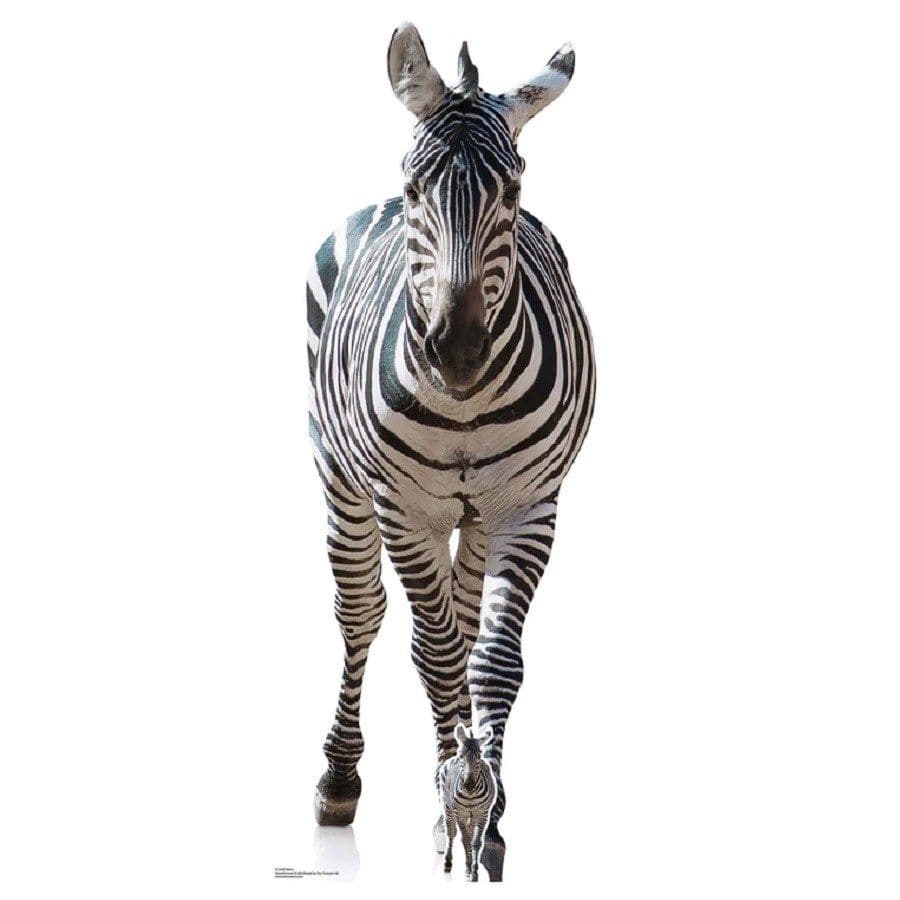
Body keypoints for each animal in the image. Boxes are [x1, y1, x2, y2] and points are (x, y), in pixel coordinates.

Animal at [438, 724, 497, 880]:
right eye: (461, 756)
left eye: (479, 756)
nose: (468, 785)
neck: (471, 795)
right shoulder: (461, 814)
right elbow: (465, 840)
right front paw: (468, 869)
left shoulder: (483, 814)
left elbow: (475, 842)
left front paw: (474, 872)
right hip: (448, 808)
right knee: (451, 834)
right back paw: (448, 864)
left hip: (473, 815)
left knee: (469, 834)